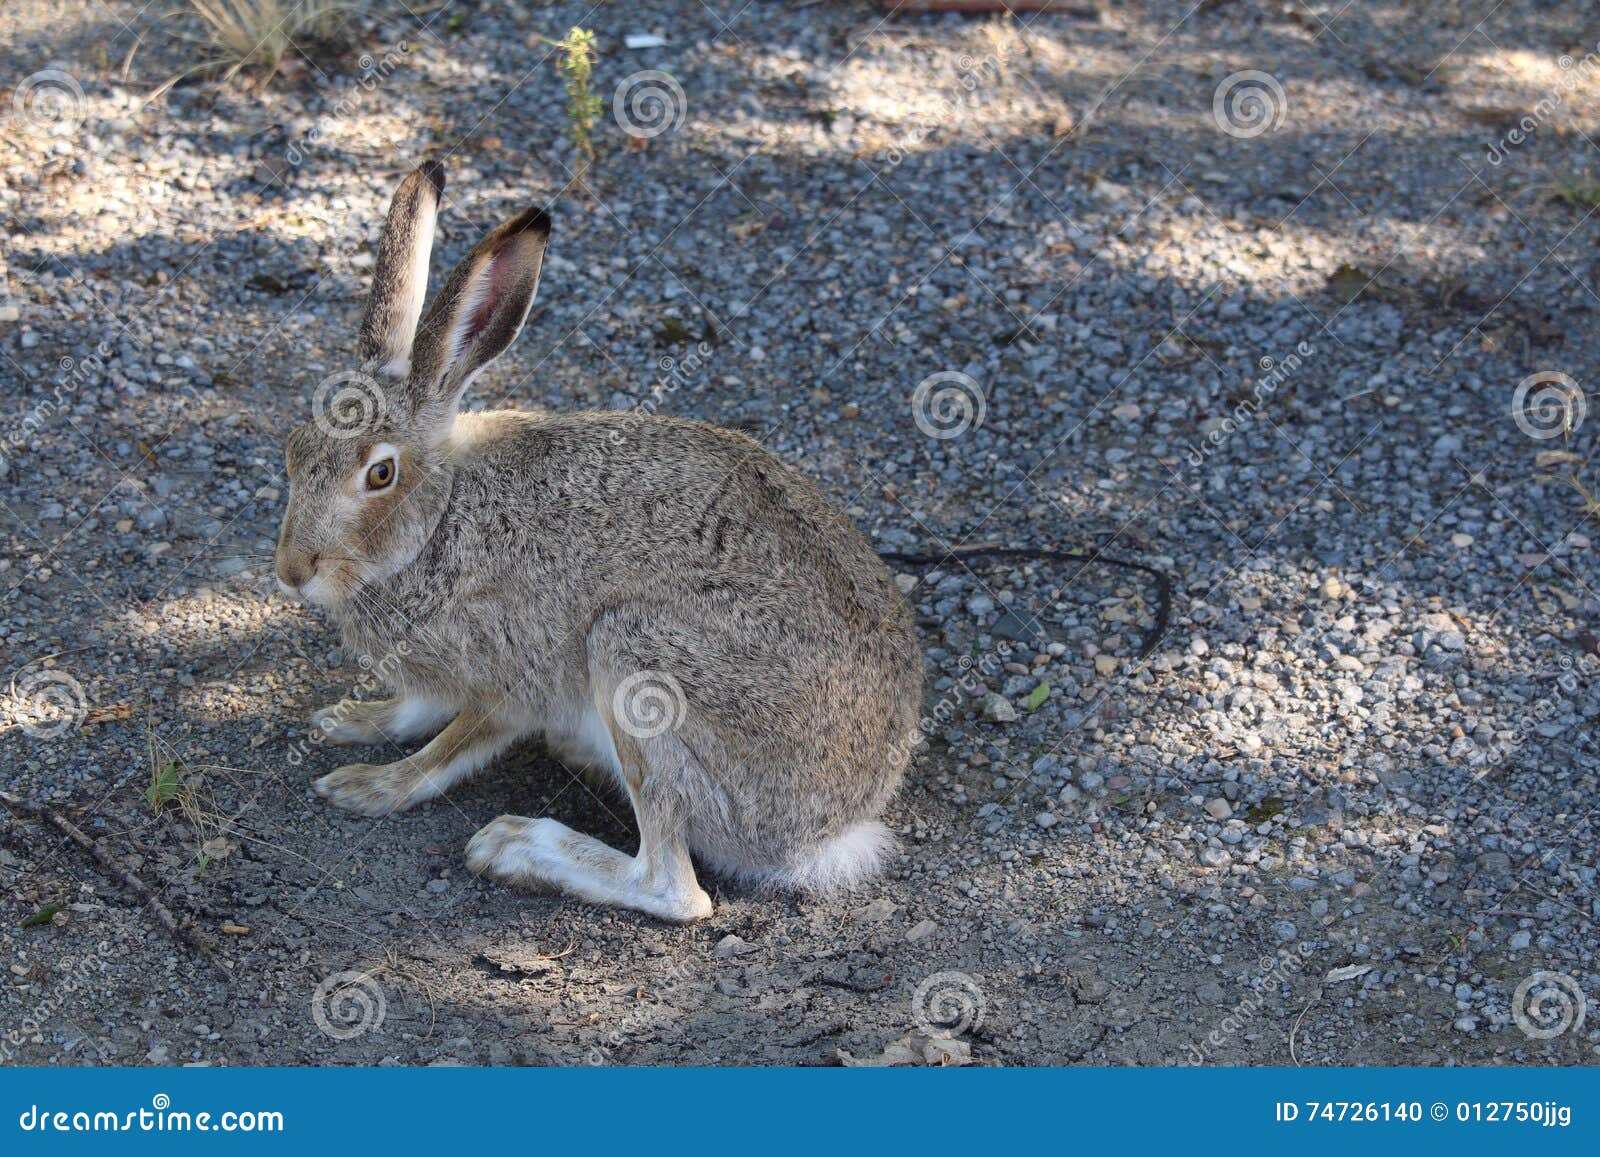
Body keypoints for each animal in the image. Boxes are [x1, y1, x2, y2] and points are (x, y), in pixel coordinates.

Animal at [274, 162, 923, 922]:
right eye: (293, 448)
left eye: (379, 473)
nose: (292, 570)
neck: (441, 519)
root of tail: (833, 829)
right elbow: (417, 706)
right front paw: (349, 718)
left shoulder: (514, 677)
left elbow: (453, 744)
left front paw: (370, 786)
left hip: (635, 660)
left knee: (676, 887)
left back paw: (520, 846)